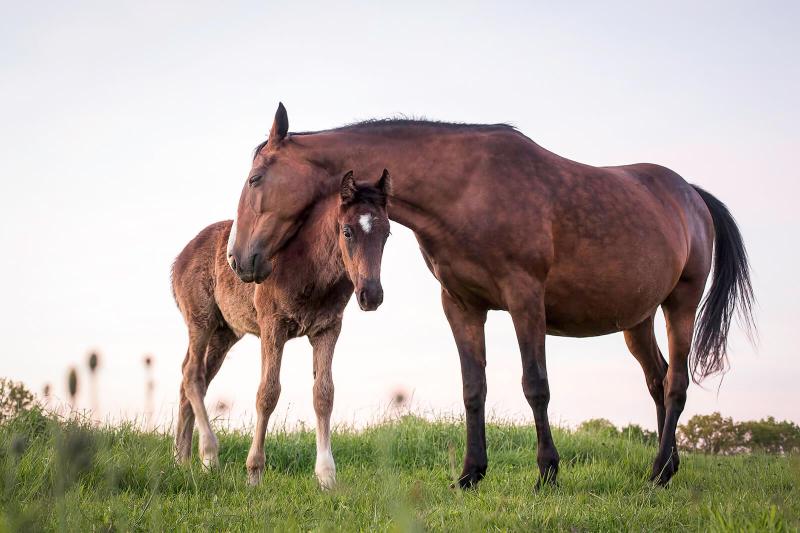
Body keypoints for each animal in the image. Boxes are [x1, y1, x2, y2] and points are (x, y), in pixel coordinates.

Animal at [172, 169, 392, 488]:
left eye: (387, 234)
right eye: (347, 231)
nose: (371, 295)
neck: (310, 266)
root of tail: (180, 258)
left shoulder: (328, 329)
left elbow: (324, 394)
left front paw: (327, 477)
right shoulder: (272, 326)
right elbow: (268, 393)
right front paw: (254, 473)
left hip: (225, 333)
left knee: (191, 378)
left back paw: (182, 459)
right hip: (201, 320)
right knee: (192, 375)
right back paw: (209, 455)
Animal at [228, 103, 754, 489]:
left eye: (255, 180)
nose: (239, 258)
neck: (467, 188)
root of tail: (692, 196)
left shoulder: (525, 301)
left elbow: (535, 385)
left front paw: (547, 474)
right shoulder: (461, 305)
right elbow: (473, 388)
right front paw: (470, 474)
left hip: (680, 304)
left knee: (676, 384)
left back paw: (658, 473)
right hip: (637, 319)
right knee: (657, 380)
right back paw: (669, 466)